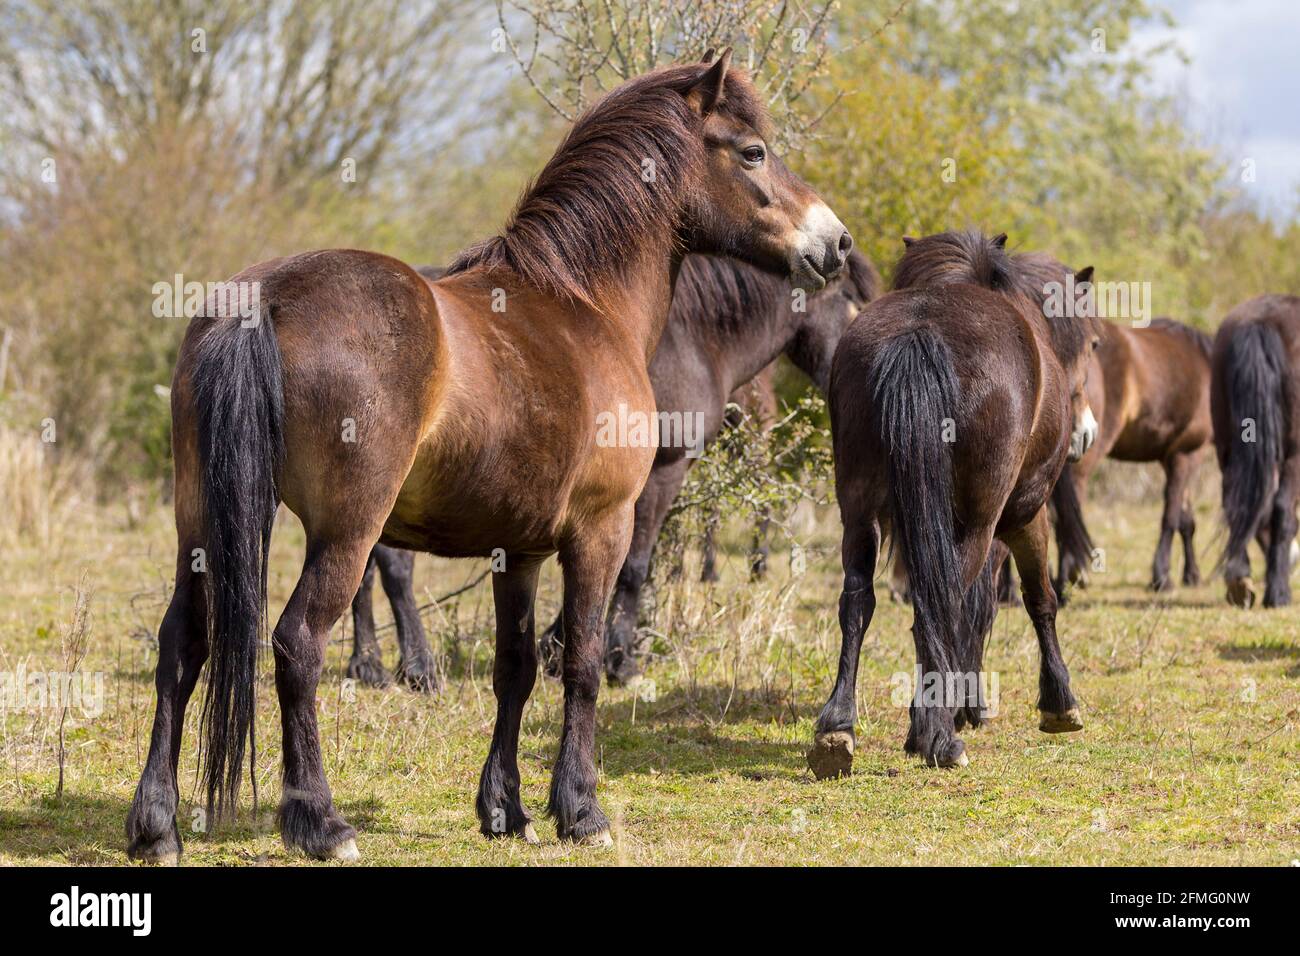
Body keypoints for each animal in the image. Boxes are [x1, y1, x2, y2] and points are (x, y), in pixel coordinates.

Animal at [125, 52, 852, 863]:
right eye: (753, 152)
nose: (835, 242)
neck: (582, 303)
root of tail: (263, 299)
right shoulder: (601, 530)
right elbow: (582, 663)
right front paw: (581, 809)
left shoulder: (520, 550)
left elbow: (517, 669)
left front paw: (505, 807)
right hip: (346, 531)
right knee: (297, 644)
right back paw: (321, 820)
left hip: (201, 522)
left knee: (183, 643)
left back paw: (157, 825)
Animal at [808, 231, 1099, 777]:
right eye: (1093, 343)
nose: (1085, 433)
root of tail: (918, 332)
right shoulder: (1023, 516)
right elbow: (1032, 600)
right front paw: (1054, 701)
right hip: (983, 522)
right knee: (941, 603)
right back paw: (938, 735)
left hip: (859, 511)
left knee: (859, 602)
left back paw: (838, 729)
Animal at [1051, 317, 1213, 600]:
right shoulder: (1187, 454)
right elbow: (1171, 516)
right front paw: (1162, 577)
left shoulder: (1171, 458)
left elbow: (1186, 520)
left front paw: (1191, 575)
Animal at [1210, 294, 1300, 608]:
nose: (1296, 558)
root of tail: (1260, 321)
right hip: (1293, 455)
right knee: (1281, 508)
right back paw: (1278, 593)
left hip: (1227, 446)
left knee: (1235, 503)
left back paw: (1239, 581)